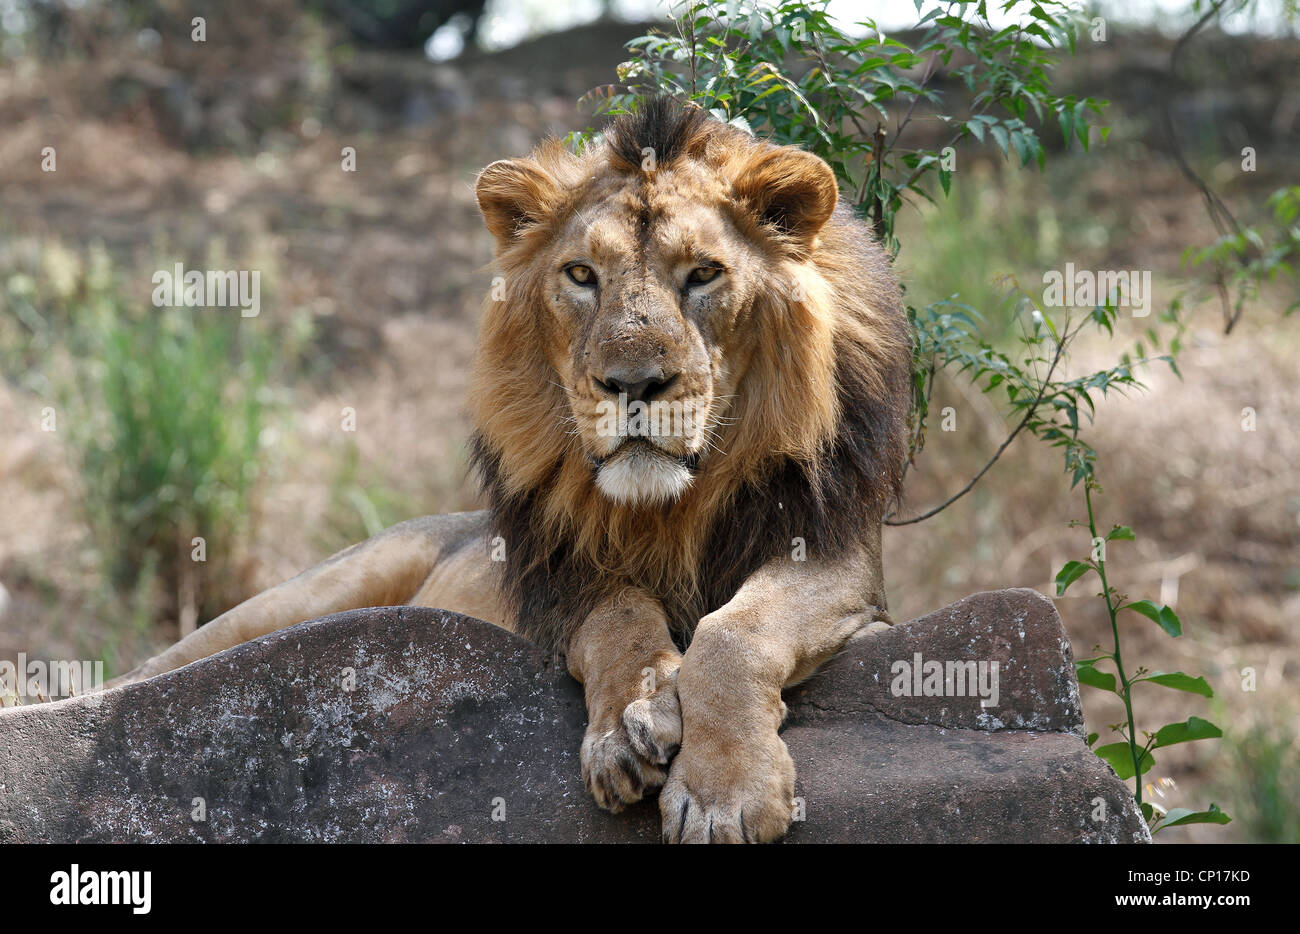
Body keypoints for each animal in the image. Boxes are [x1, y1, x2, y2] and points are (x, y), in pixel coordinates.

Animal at [112, 98, 913, 843]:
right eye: (582, 275)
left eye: (704, 275)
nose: (632, 384)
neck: (668, 508)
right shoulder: (556, 576)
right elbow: (620, 619)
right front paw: (630, 723)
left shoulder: (838, 556)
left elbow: (734, 632)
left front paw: (724, 793)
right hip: (307, 593)